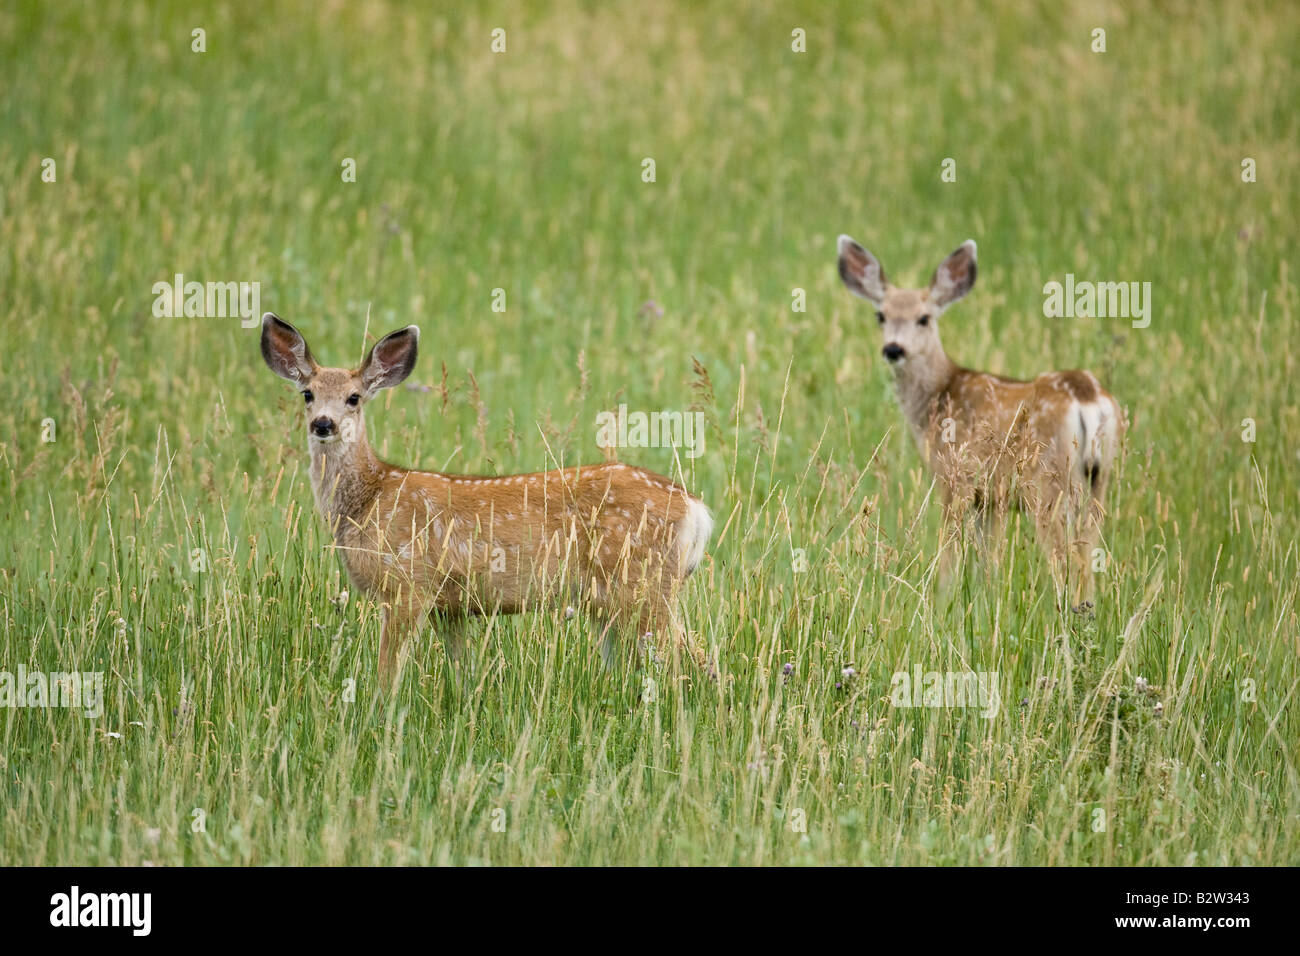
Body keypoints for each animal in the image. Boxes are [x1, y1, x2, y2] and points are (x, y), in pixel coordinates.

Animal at [260, 313, 714, 688]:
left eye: (353, 397)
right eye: (307, 393)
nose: (324, 424)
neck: (369, 499)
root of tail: (696, 510)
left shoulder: (408, 585)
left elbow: (388, 676)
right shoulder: (450, 607)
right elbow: (461, 672)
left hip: (644, 583)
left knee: (694, 661)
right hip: (613, 601)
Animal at [836, 236, 1124, 610]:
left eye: (924, 318)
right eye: (881, 315)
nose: (894, 349)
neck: (939, 395)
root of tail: (1087, 395)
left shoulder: (954, 476)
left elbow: (950, 550)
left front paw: (942, 599)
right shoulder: (990, 497)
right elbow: (989, 561)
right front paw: (985, 601)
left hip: (1047, 479)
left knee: (1063, 556)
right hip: (1100, 474)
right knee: (1090, 546)